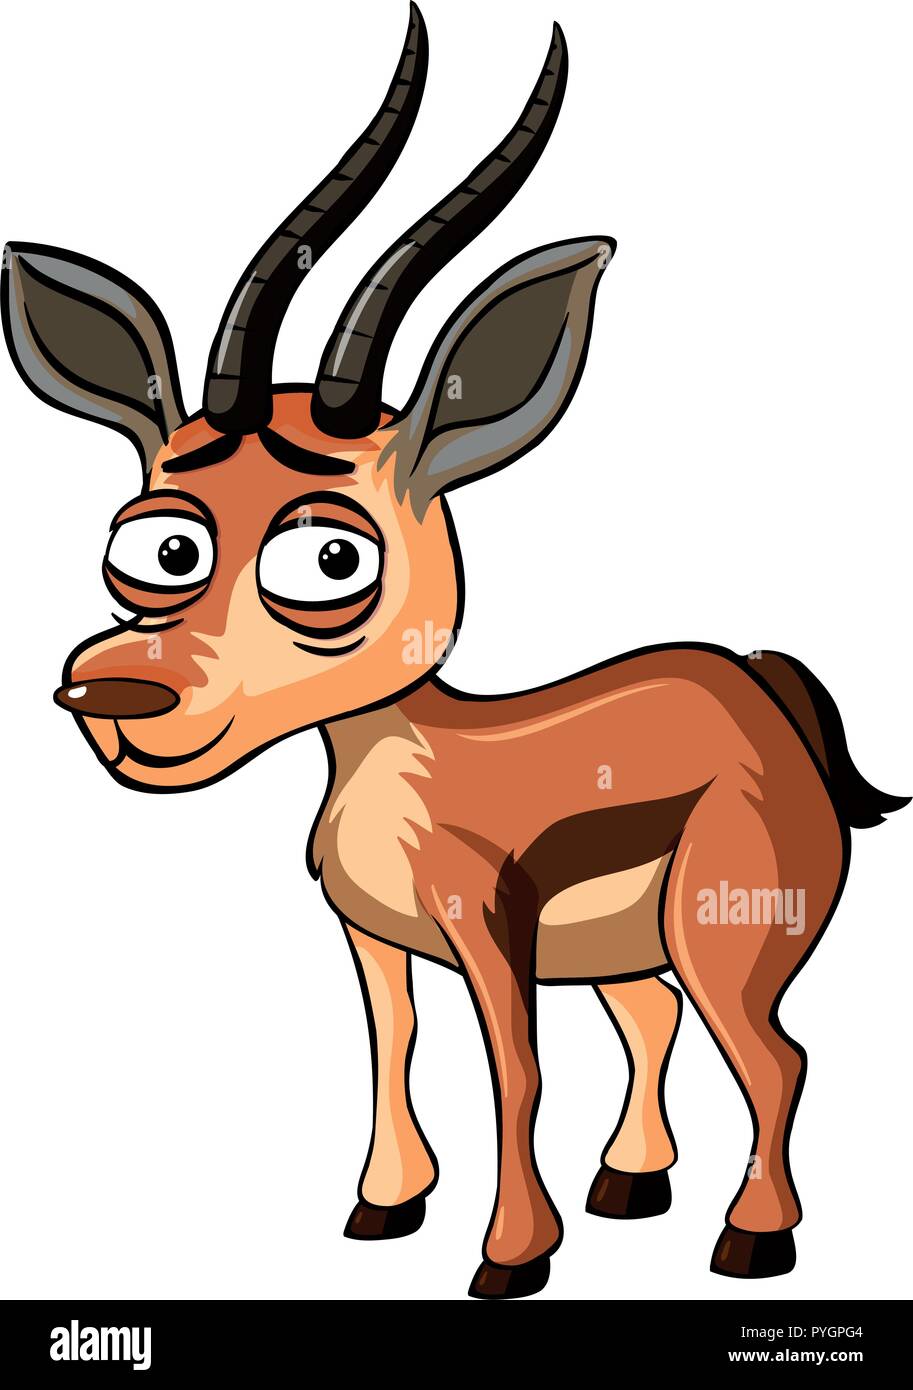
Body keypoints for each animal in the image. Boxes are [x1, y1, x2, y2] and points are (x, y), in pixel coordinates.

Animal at [3, 5, 906, 1301]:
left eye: (330, 558)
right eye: (158, 542)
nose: (117, 691)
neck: (407, 764)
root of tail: (752, 680)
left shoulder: (489, 936)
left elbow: (512, 1072)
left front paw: (510, 1258)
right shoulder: (370, 939)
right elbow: (396, 1046)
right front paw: (383, 1207)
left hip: (722, 933)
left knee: (775, 1053)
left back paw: (752, 1237)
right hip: (629, 948)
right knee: (653, 1020)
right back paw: (631, 1186)